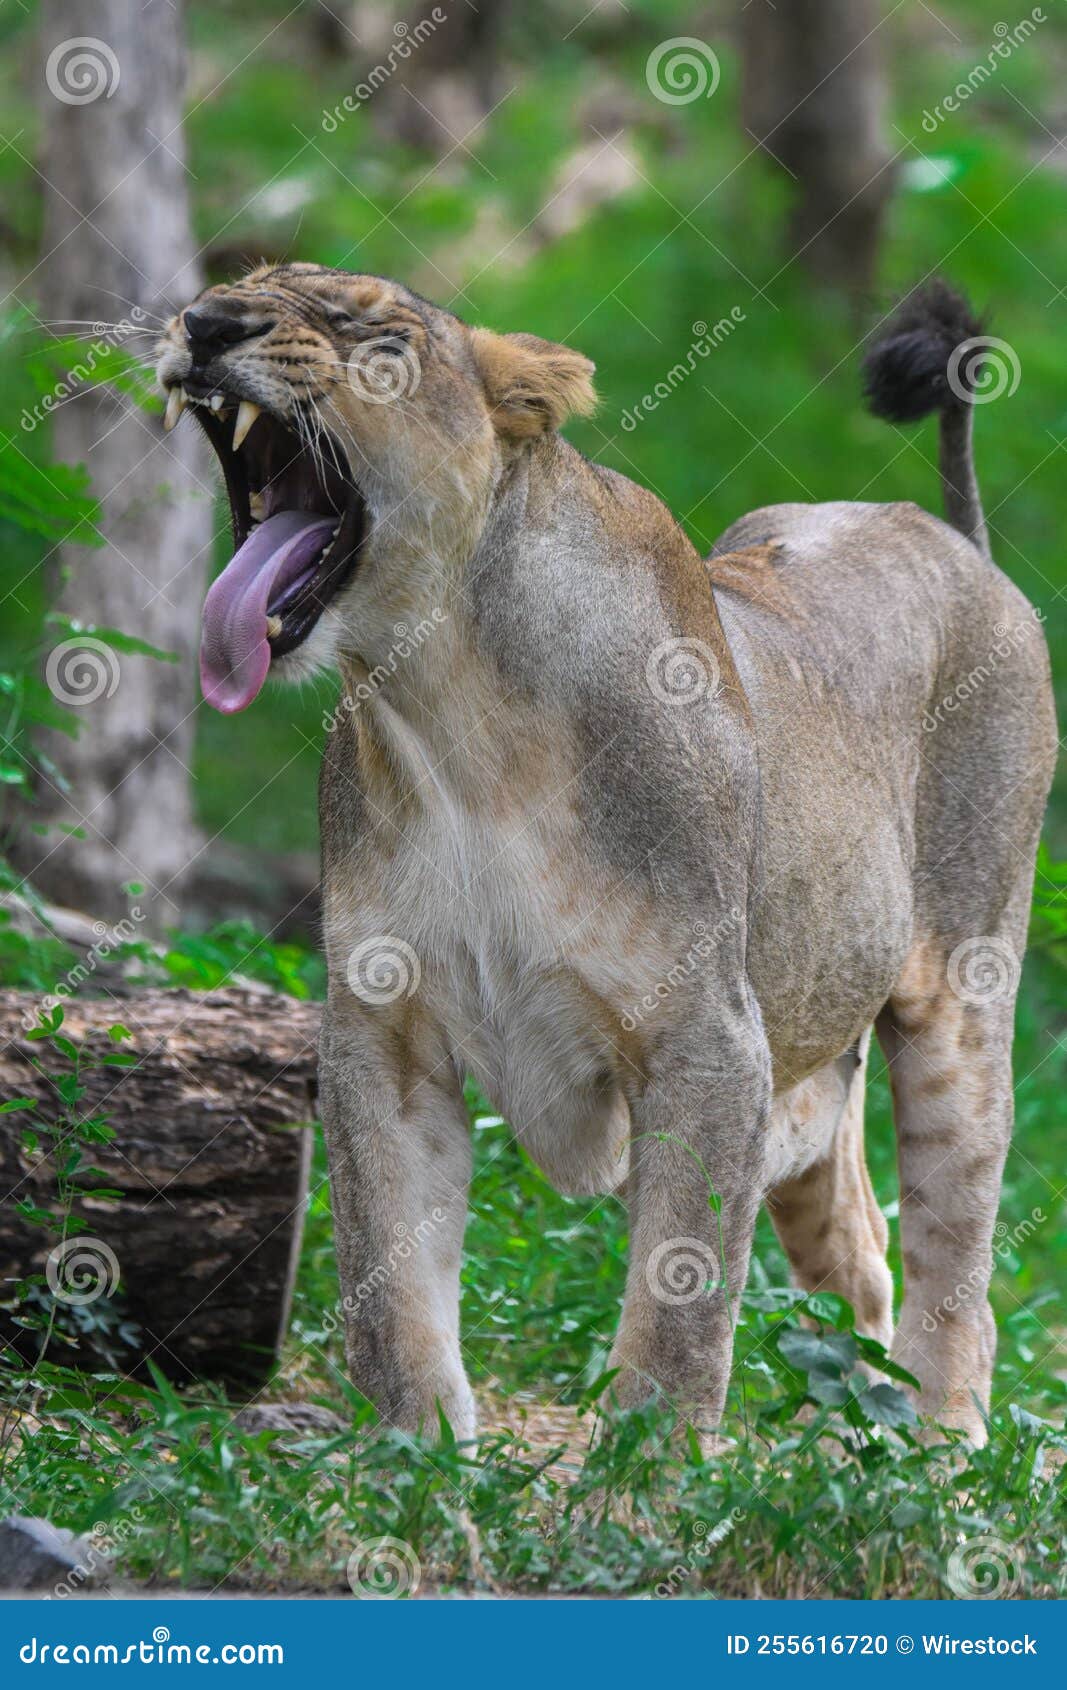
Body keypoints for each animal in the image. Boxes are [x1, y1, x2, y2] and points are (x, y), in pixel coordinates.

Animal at [158, 268, 1055, 1446]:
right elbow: (387, 1281)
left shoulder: (707, 1041)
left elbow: (678, 1297)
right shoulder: (383, 1029)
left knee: (956, 1252)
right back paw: (841, 1430)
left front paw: (638, 1475)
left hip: (958, 997)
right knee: (856, 1239)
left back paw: (933, 1438)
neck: (449, 712)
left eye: (379, 337)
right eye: (231, 292)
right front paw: (423, 1457)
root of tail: (959, 543)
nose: (206, 324)